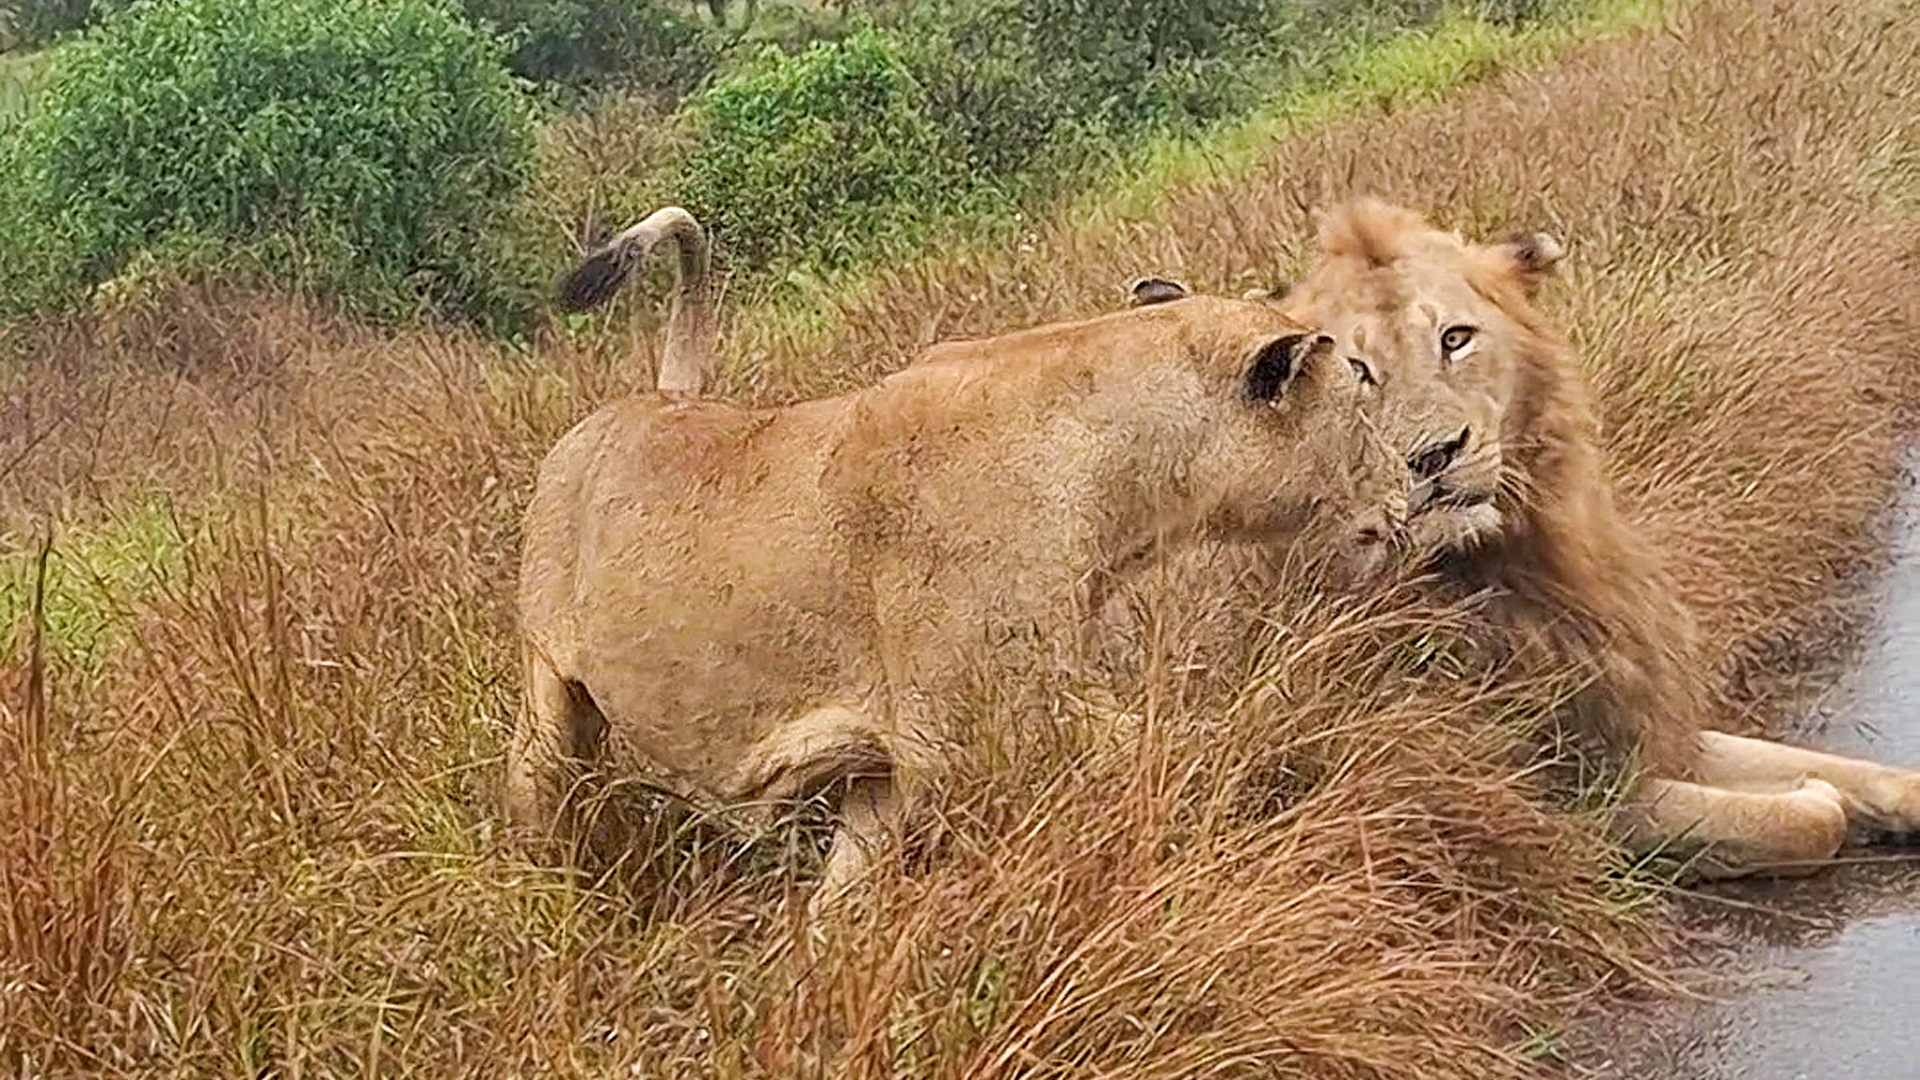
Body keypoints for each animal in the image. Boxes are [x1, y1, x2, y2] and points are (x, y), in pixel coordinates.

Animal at [510, 208, 1441, 911]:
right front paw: (1318, 726)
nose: (1413, 479)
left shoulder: (895, 769)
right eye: (1362, 384)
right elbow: (1193, 745)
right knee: (542, 803)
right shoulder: (995, 729)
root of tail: (655, 397)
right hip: (548, 704)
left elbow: (840, 905)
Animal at [1128, 200, 1920, 876]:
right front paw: (1816, 799)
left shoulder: (1639, 719)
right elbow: (1807, 822)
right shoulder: (1564, 799)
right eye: (1357, 370)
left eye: (1454, 339)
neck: (1514, 569)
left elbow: (1852, 771)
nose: (1432, 457)